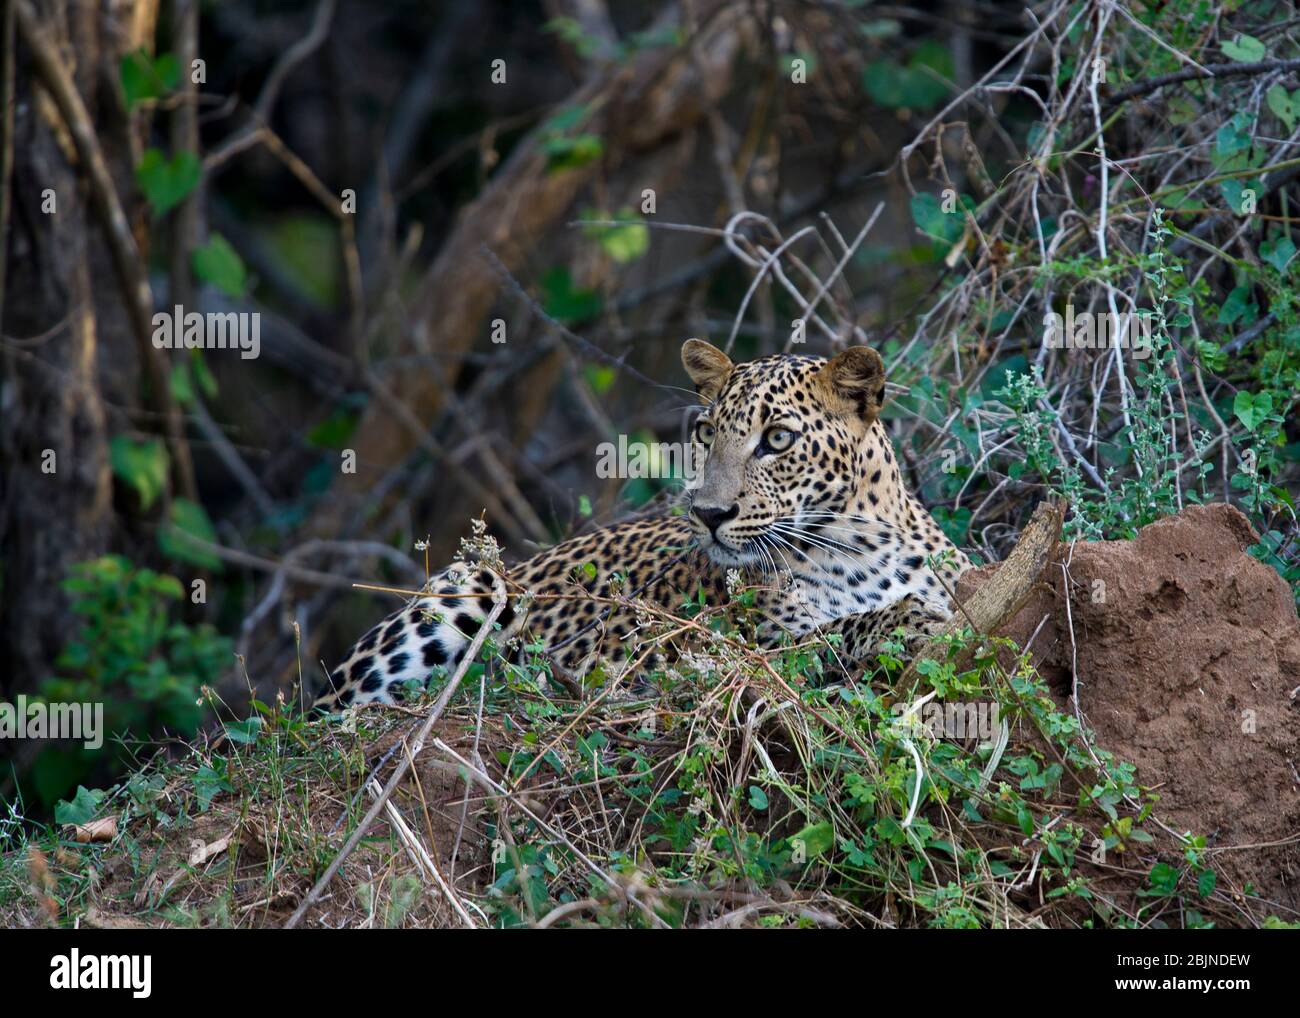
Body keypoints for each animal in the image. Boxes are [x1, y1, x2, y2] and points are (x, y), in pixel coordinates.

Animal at [313, 338, 971, 710]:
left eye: (778, 439)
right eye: (707, 433)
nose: (708, 513)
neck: (859, 544)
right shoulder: (709, 649)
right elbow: (825, 634)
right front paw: (904, 618)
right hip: (461, 590)